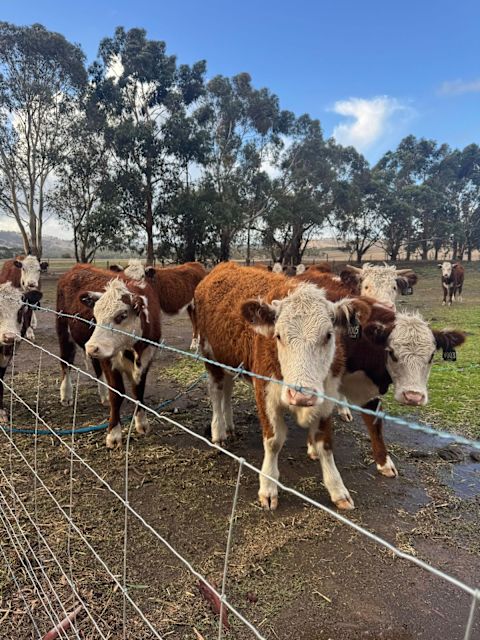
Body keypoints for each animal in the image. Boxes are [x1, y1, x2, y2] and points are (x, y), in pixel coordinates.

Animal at [194, 262, 373, 511]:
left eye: (329, 335)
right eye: (278, 336)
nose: (301, 396)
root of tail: (222, 267)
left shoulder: (326, 396)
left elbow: (325, 444)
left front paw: (337, 489)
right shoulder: (265, 392)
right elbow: (273, 441)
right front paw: (268, 487)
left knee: (227, 390)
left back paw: (229, 426)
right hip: (211, 356)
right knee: (216, 392)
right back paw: (218, 431)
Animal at [297, 269, 466, 479]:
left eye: (431, 356)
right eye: (392, 352)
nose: (413, 396)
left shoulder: (369, 388)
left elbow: (375, 423)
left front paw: (384, 462)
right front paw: (313, 445)